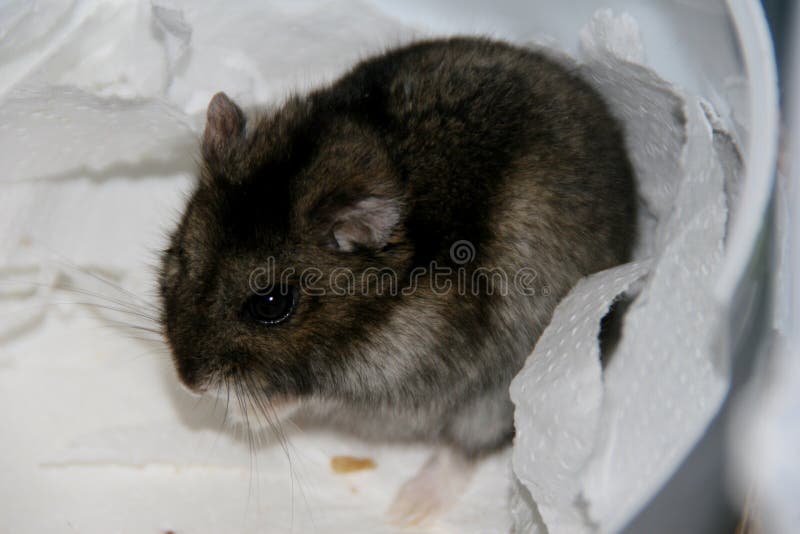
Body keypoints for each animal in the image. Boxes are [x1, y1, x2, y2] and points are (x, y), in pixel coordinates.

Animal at [159, 36, 636, 523]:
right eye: (180, 254)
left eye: (271, 304)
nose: (188, 383)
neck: (378, 302)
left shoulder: (398, 373)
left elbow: (319, 392)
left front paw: (248, 414)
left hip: (493, 401)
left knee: (464, 451)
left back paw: (408, 508)